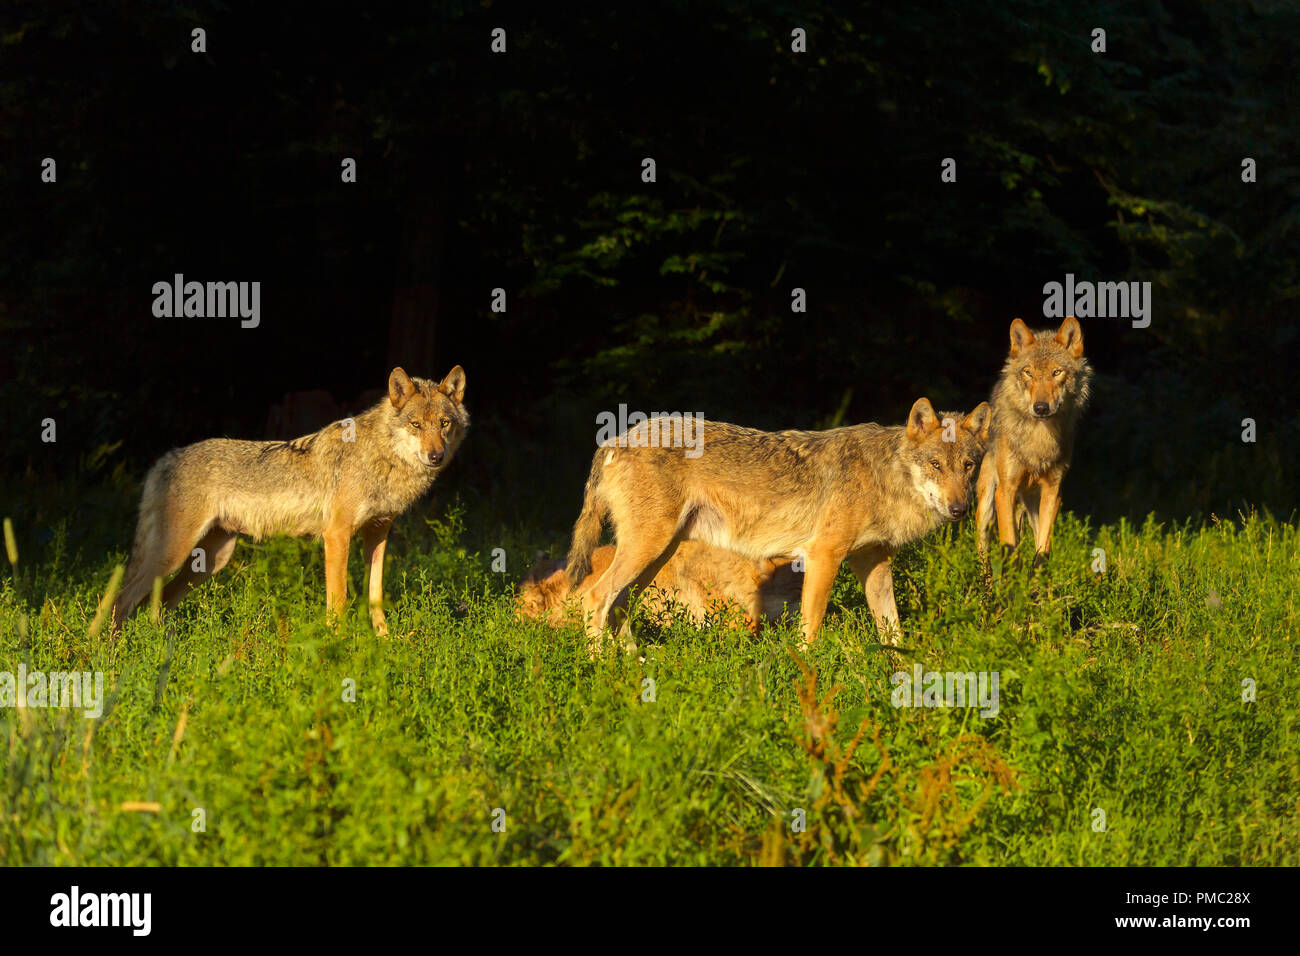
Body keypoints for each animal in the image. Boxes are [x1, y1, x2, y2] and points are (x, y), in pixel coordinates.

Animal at [110, 366, 468, 635]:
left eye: (444, 424)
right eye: (416, 425)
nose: (435, 456)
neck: (382, 457)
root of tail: (164, 460)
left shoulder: (378, 534)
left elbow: (375, 595)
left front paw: (385, 641)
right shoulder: (336, 536)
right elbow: (338, 602)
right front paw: (339, 648)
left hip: (210, 561)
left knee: (155, 604)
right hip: (174, 554)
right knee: (120, 600)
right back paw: (116, 655)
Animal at [565, 398, 991, 647]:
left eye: (968, 466)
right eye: (935, 465)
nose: (959, 508)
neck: (884, 477)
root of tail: (615, 438)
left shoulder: (872, 561)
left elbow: (892, 628)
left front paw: (901, 676)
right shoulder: (823, 556)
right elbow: (812, 626)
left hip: (656, 555)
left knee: (619, 606)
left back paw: (635, 669)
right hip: (648, 549)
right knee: (595, 599)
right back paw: (602, 672)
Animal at [975, 316, 1092, 567]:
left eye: (1057, 372)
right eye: (1028, 373)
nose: (1040, 407)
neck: (1039, 439)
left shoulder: (1053, 492)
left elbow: (1042, 552)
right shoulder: (1005, 491)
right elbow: (1010, 549)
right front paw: (1012, 577)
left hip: (1032, 507)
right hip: (987, 505)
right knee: (984, 552)